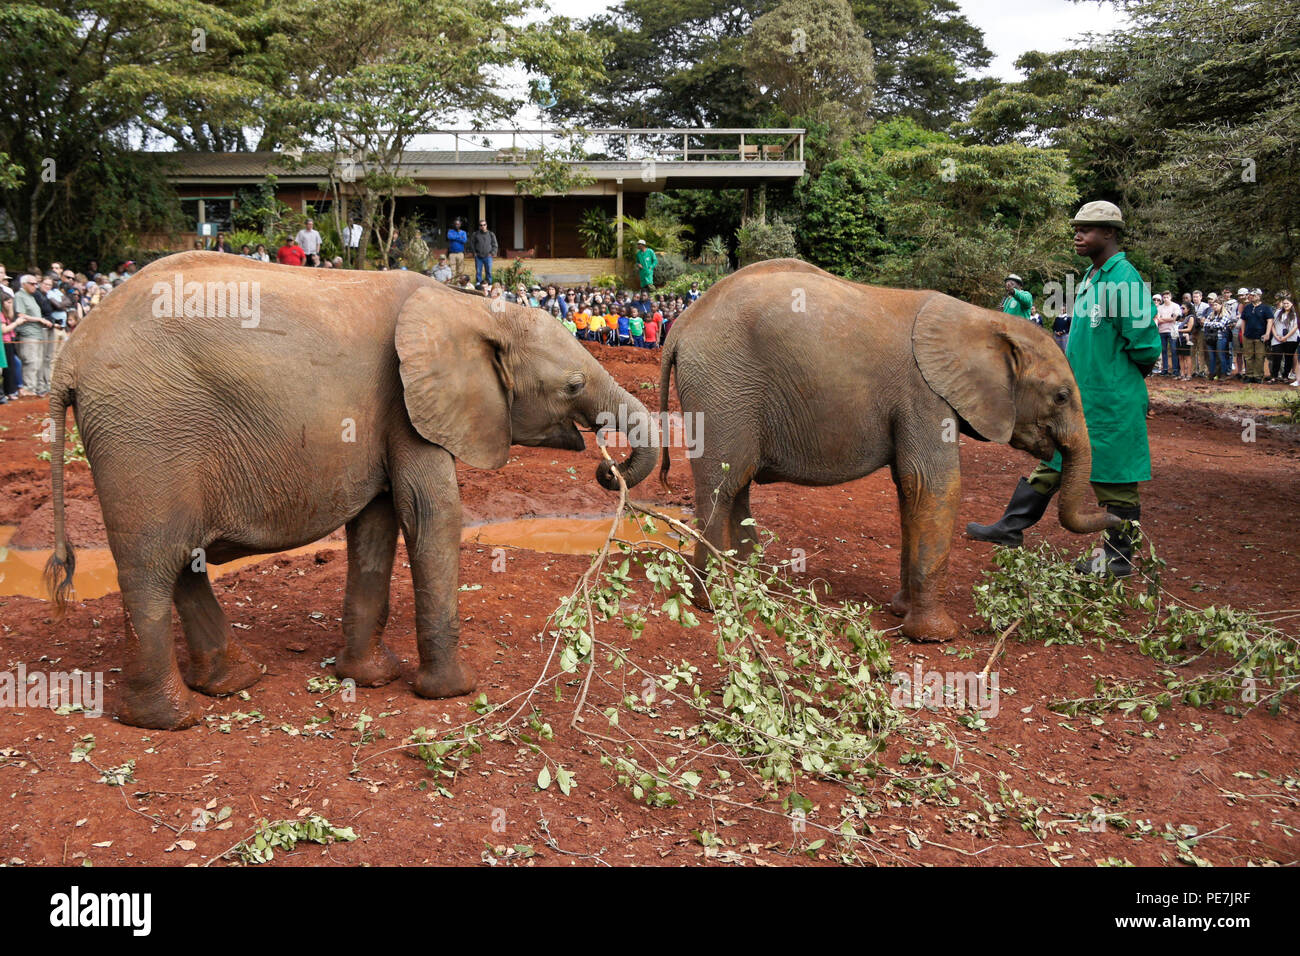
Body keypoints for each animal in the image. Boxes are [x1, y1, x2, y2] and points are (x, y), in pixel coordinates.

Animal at [45, 251, 660, 729]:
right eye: (573, 386)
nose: (607, 471)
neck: (470, 306)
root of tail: (67, 357)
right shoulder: (408, 403)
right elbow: (433, 513)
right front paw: (453, 691)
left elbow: (378, 523)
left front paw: (369, 679)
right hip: (144, 434)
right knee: (152, 564)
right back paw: (170, 718)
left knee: (181, 561)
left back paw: (233, 683)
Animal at [656, 258, 1118, 643]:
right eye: (1061, 396)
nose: (1116, 517)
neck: (984, 321)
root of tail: (681, 325)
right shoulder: (925, 395)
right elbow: (934, 485)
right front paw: (936, 636)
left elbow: (909, 488)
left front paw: (900, 610)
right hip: (723, 386)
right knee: (722, 484)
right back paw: (714, 599)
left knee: (738, 483)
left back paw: (752, 585)